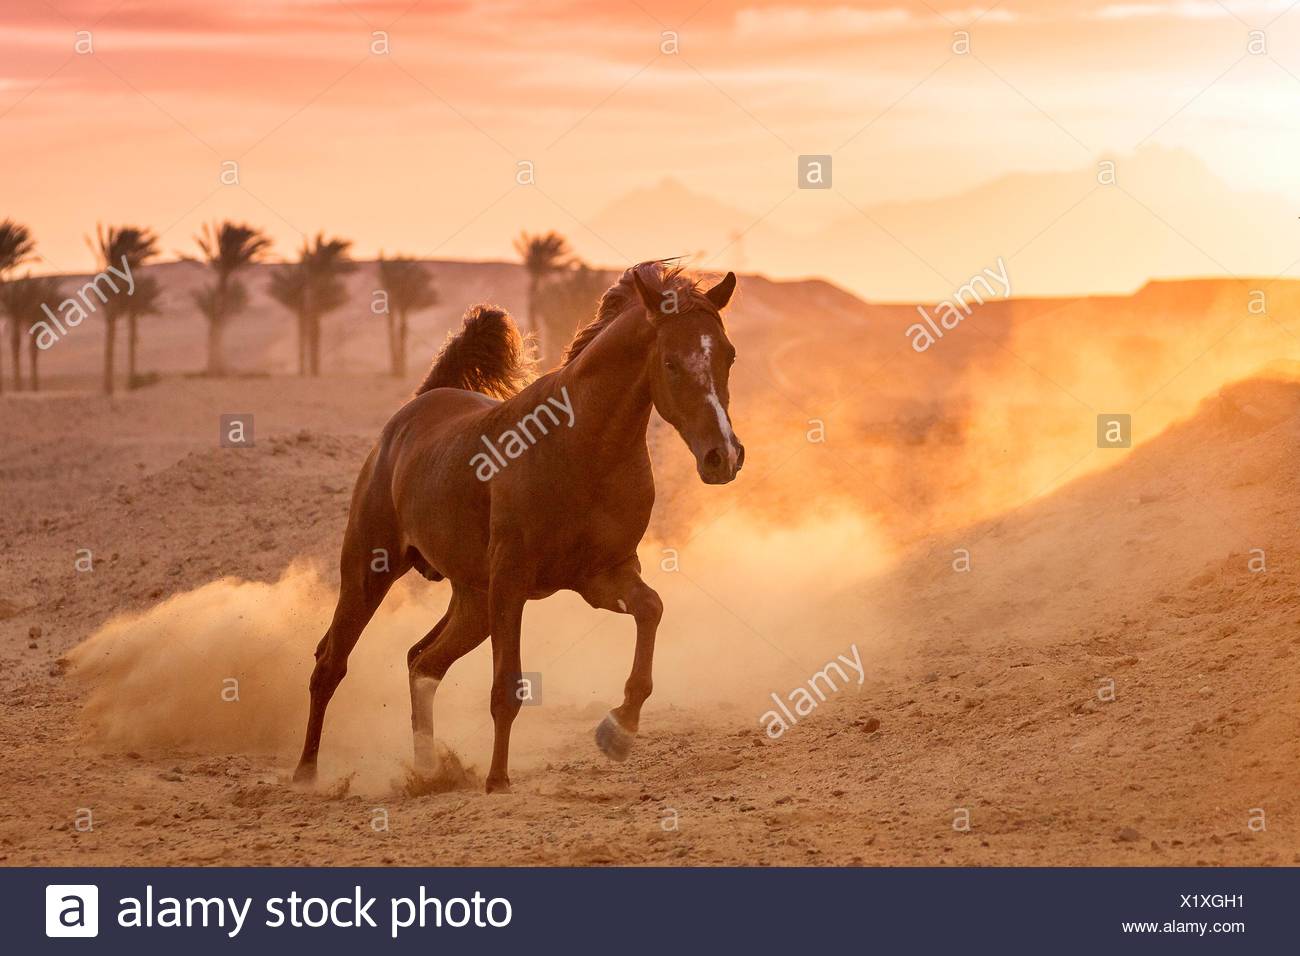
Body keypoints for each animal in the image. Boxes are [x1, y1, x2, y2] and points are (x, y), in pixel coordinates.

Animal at [293, 261, 743, 793]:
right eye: (671, 362)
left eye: (729, 355)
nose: (723, 456)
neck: (580, 447)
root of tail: (408, 416)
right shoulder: (512, 583)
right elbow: (506, 687)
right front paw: (498, 781)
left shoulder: (602, 576)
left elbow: (651, 610)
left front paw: (618, 731)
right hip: (370, 572)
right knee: (330, 665)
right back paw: (306, 774)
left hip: (473, 601)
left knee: (422, 662)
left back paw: (428, 771)